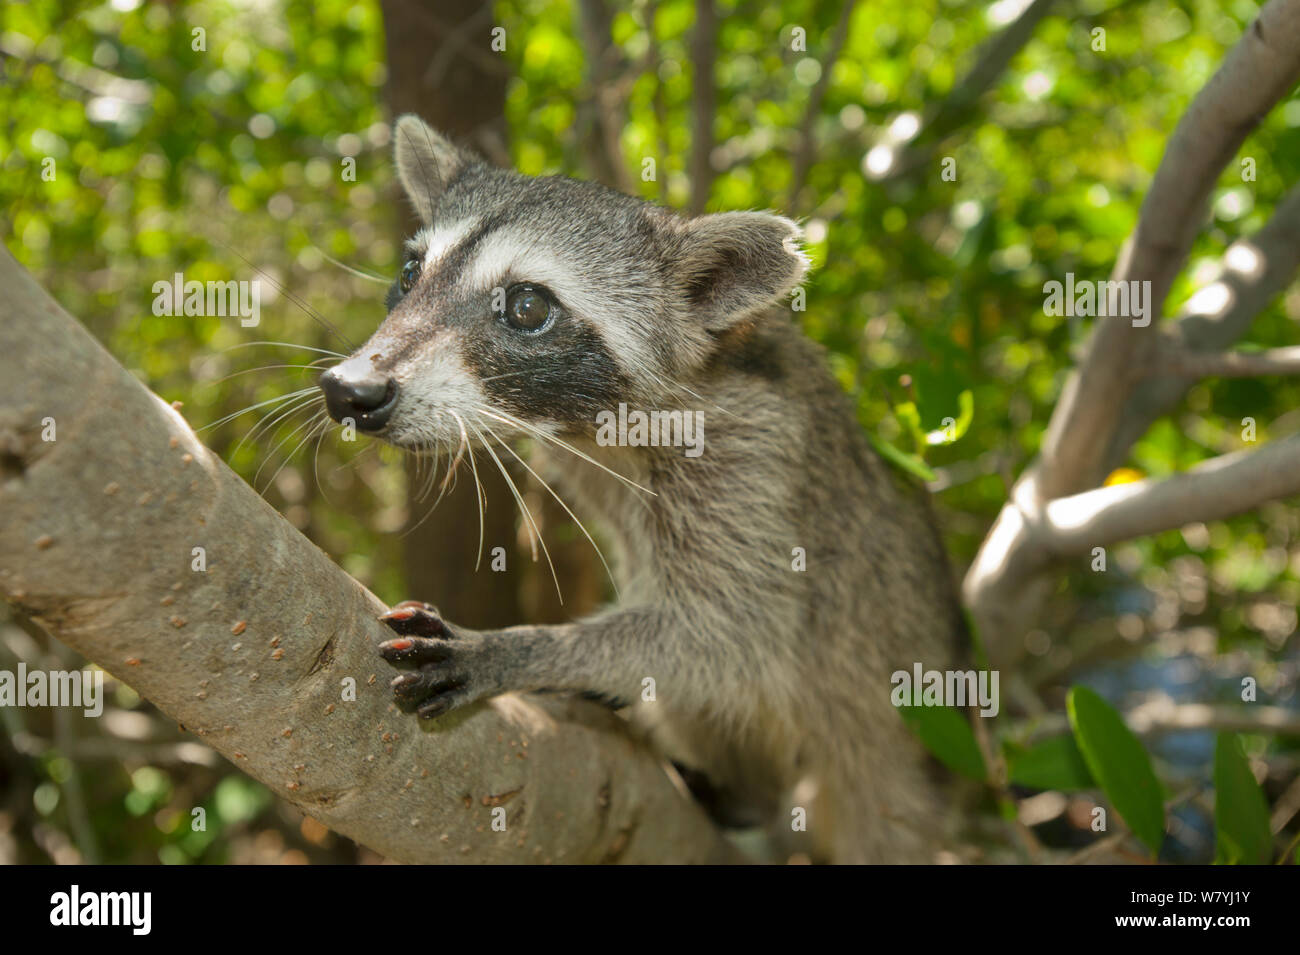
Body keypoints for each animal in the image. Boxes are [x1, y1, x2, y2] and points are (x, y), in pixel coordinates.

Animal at [318, 114, 965, 863]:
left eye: (527, 305)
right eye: (409, 274)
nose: (350, 390)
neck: (593, 429)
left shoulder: (752, 460)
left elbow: (730, 636)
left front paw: (525, 648)